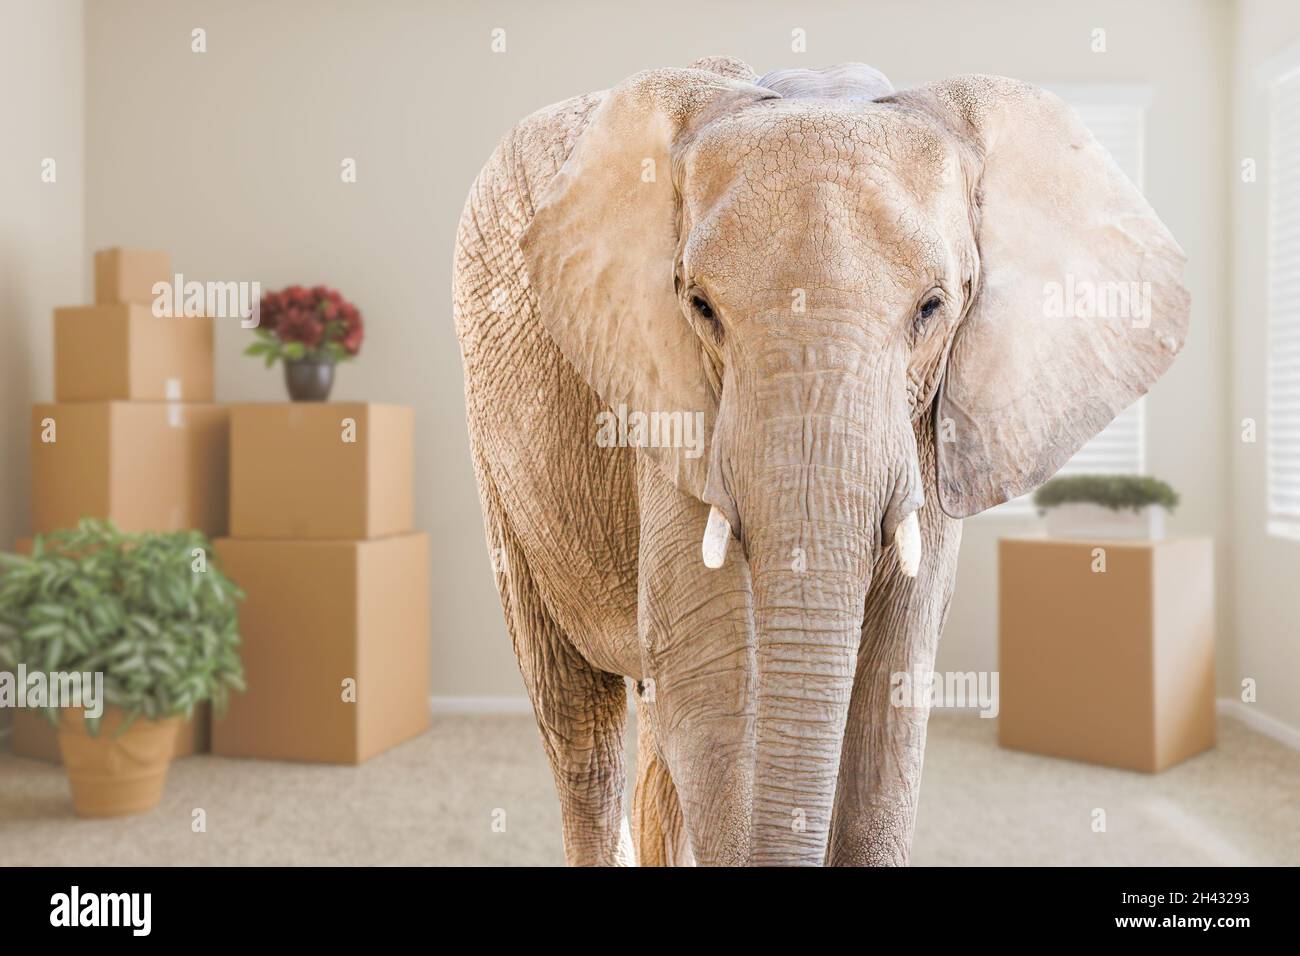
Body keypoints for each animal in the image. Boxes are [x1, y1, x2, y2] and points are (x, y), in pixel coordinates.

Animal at [451, 56, 1188, 866]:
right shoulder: (670, 397)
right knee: (583, 731)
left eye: (932, 308)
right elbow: (715, 687)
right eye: (701, 307)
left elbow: (890, 700)